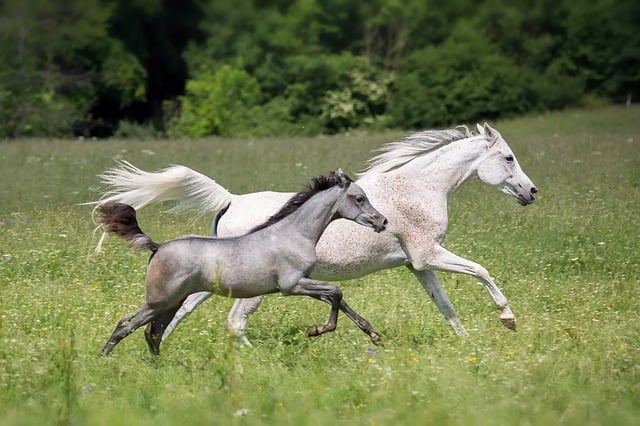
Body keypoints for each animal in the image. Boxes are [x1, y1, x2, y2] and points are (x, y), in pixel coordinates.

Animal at [96, 170, 387, 356]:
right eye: (359, 198)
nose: (382, 221)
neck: (292, 233)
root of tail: (157, 247)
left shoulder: (302, 283)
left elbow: (339, 299)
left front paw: (374, 335)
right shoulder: (292, 286)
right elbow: (337, 292)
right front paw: (317, 330)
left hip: (171, 303)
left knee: (153, 332)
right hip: (159, 301)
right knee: (126, 325)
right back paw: (103, 361)